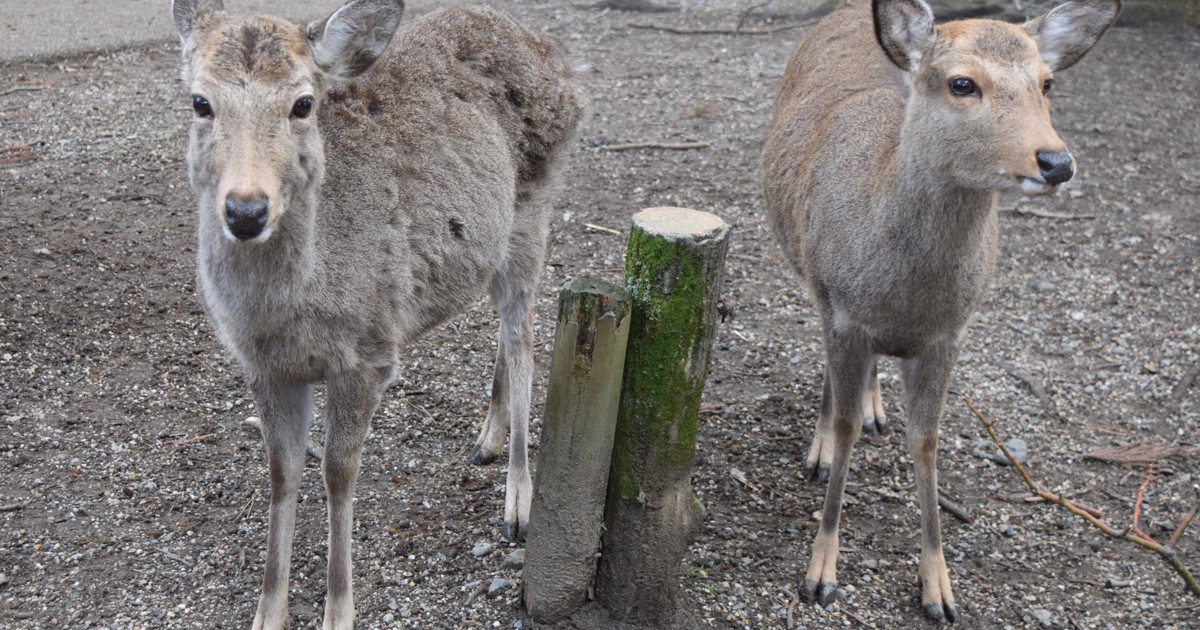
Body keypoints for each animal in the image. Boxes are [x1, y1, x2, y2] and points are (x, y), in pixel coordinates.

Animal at [169, 0, 584, 627]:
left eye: (303, 103)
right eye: (200, 101)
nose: (245, 210)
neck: (284, 317)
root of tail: (554, 56)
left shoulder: (369, 352)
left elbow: (338, 474)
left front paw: (339, 610)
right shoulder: (263, 367)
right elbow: (282, 472)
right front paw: (269, 611)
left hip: (535, 211)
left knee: (523, 333)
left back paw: (518, 500)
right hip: (490, 243)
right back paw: (486, 437)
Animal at [762, 0, 1119, 622]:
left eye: (1047, 83)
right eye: (962, 83)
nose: (1056, 162)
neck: (906, 298)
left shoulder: (949, 336)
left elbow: (926, 442)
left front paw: (939, 589)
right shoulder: (843, 313)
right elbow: (845, 426)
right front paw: (819, 575)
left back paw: (876, 408)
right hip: (809, 272)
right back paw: (820, 449)